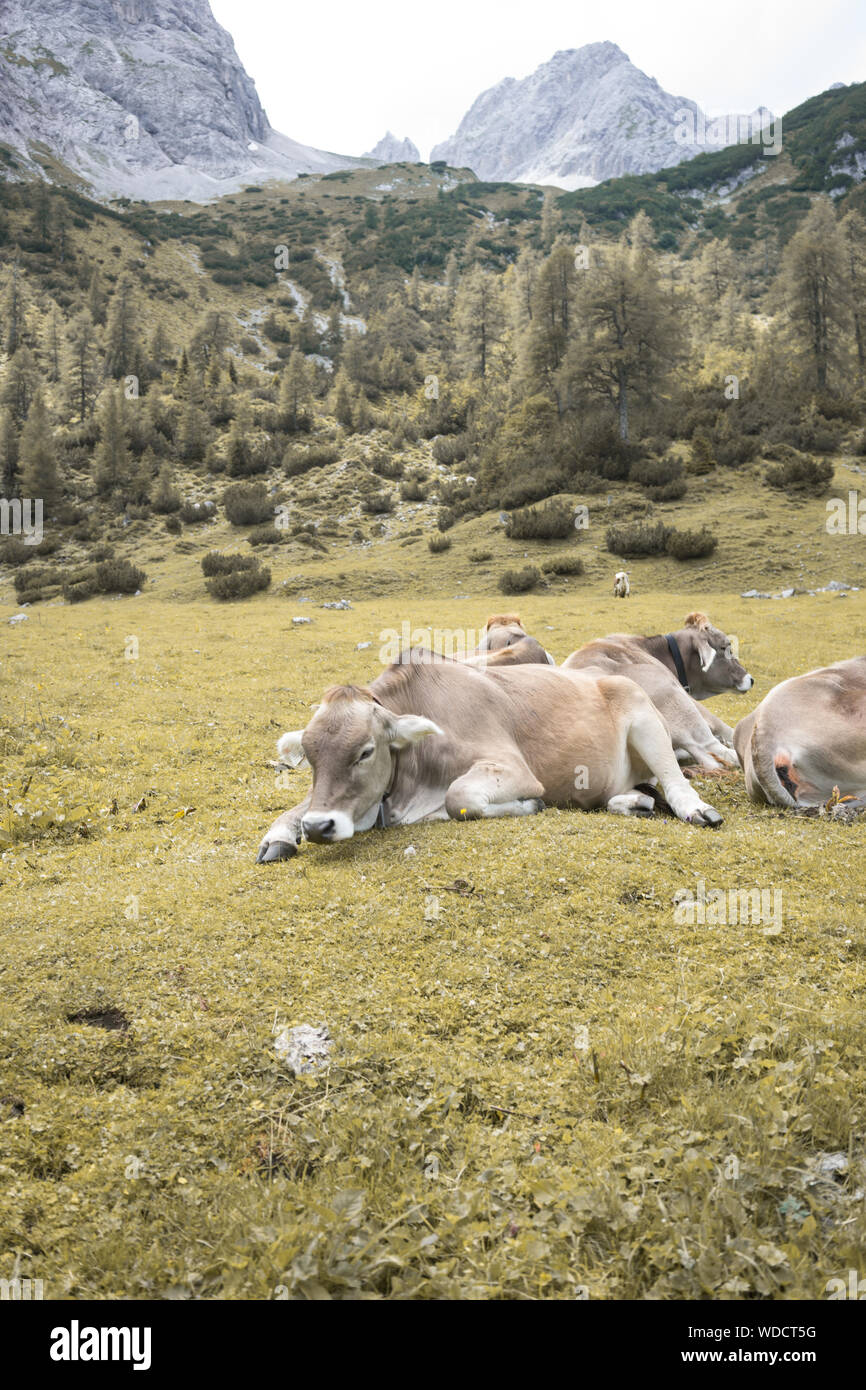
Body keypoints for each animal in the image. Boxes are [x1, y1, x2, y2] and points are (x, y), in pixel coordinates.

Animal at [256, 650, 724, 861]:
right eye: (311, 758)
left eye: (366, 752)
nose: (320, 827)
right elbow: (294, 807)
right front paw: (281, 834)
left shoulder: (513, 768)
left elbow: (459, 798)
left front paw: (529, 805)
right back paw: (633, 801)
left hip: (645, 717)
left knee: (674, 779)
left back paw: (695, 809)